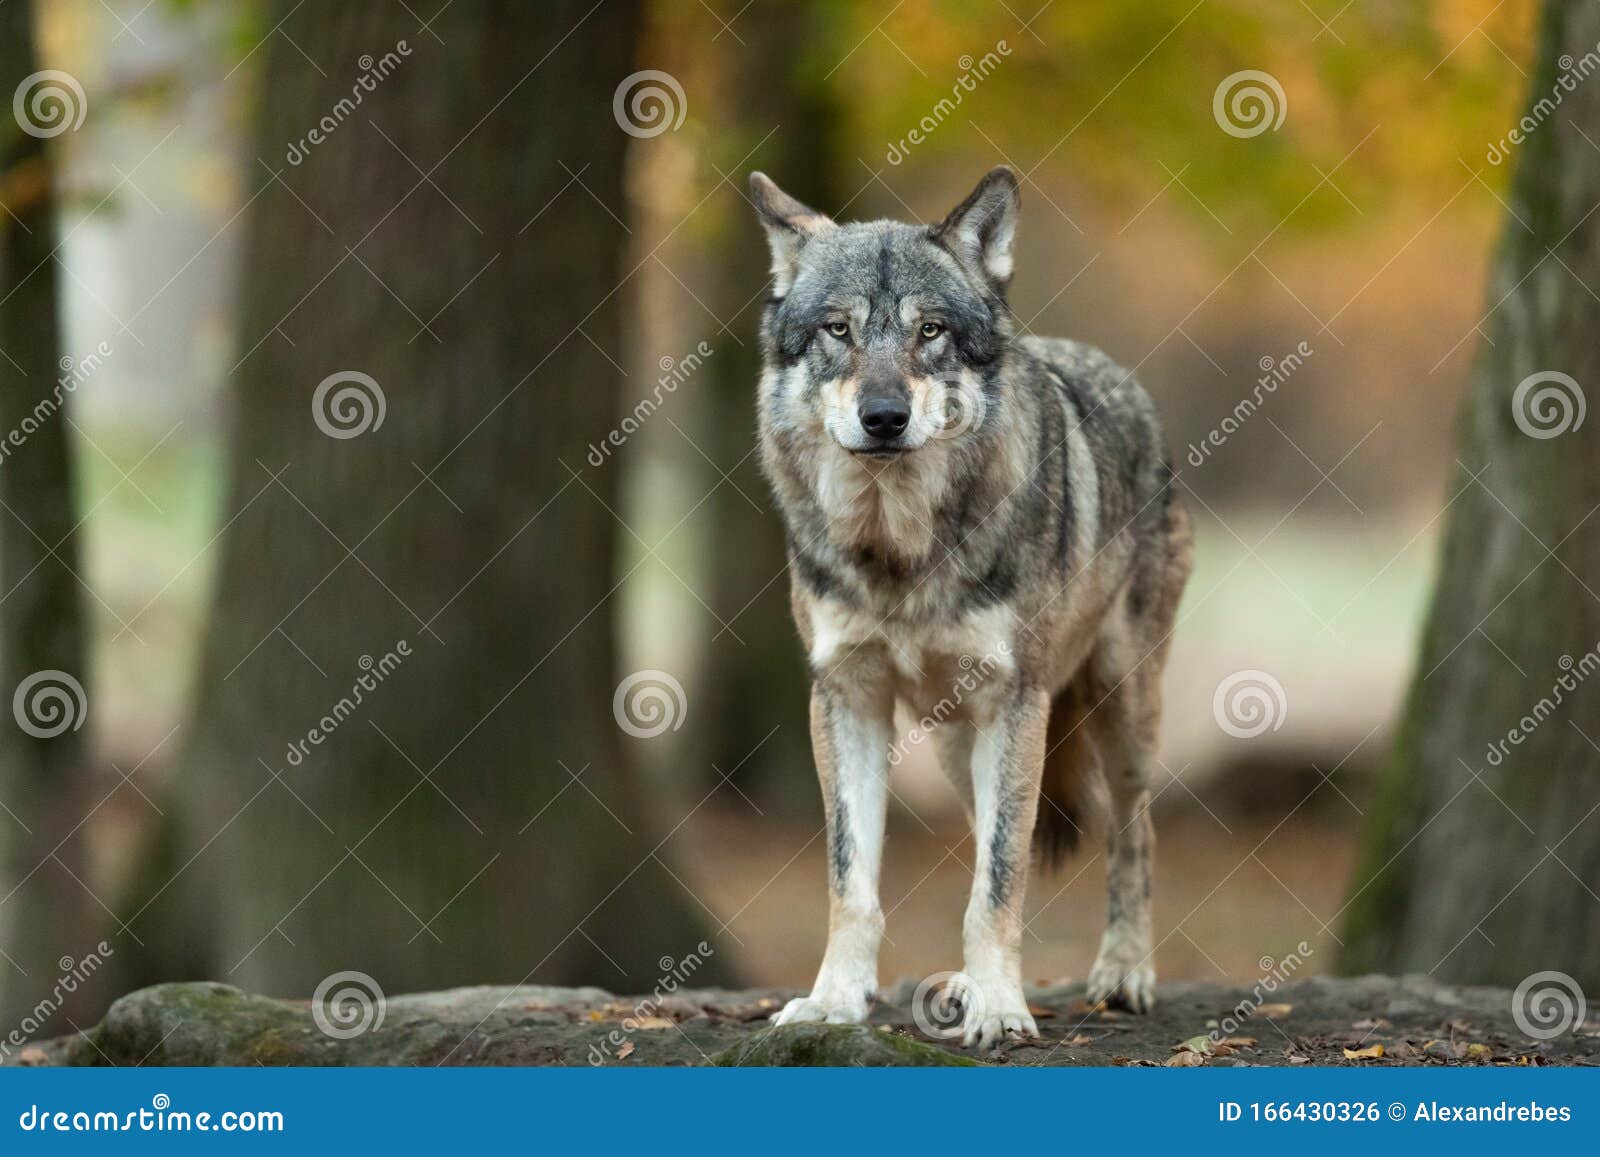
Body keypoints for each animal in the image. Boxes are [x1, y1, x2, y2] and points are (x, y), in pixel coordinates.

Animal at [749, 167, 1193, 1048]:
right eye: (838, 330)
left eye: (930, 331)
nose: (884, 417)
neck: (899, 553)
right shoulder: (846, 699)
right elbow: (854, 880)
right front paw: (834, 999)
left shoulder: (1012, 702)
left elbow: (999, 877)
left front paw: (1001, 1007)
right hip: (959, 747)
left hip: (1119, 712)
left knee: (1134, 831)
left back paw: (1123, 973)